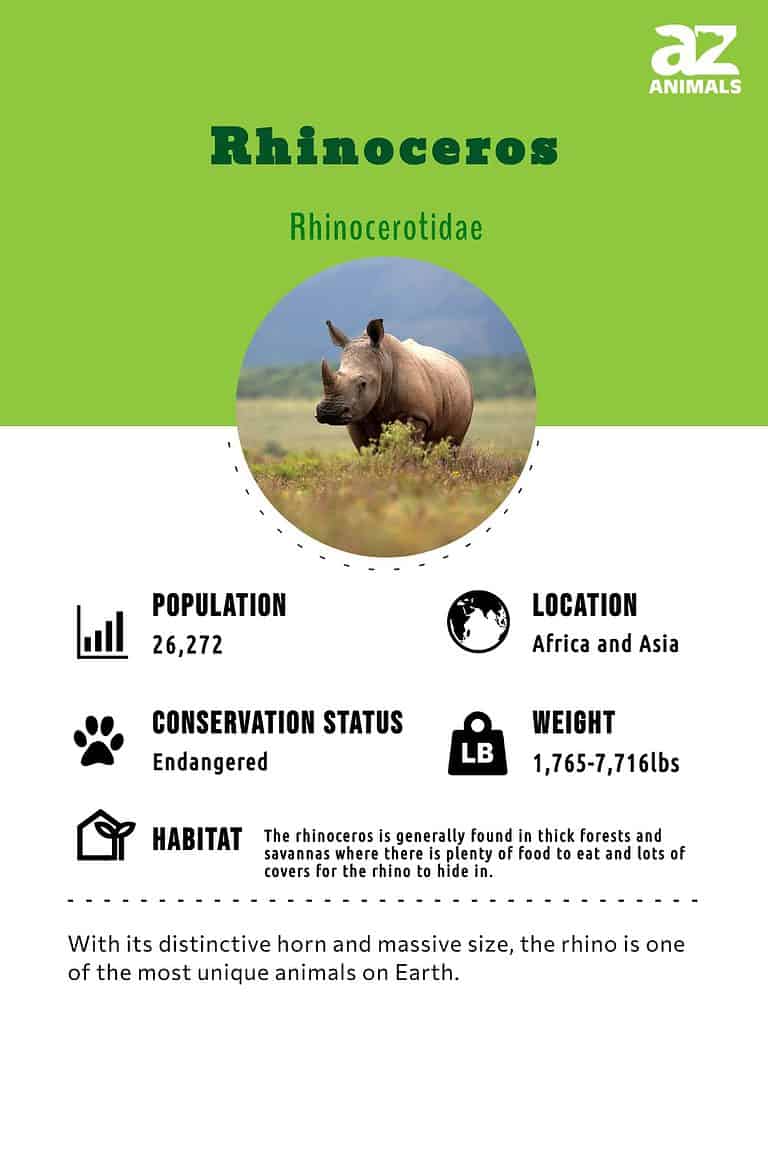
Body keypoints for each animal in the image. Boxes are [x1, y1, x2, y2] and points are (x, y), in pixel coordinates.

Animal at [316, 317, 473, 450]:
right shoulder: (356, 416)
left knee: (451, 446)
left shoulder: (417, 415)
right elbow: (367, 450)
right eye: (337, 373)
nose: (329, 412)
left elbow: (407, 450)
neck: (383, 362)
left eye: (363, 383)